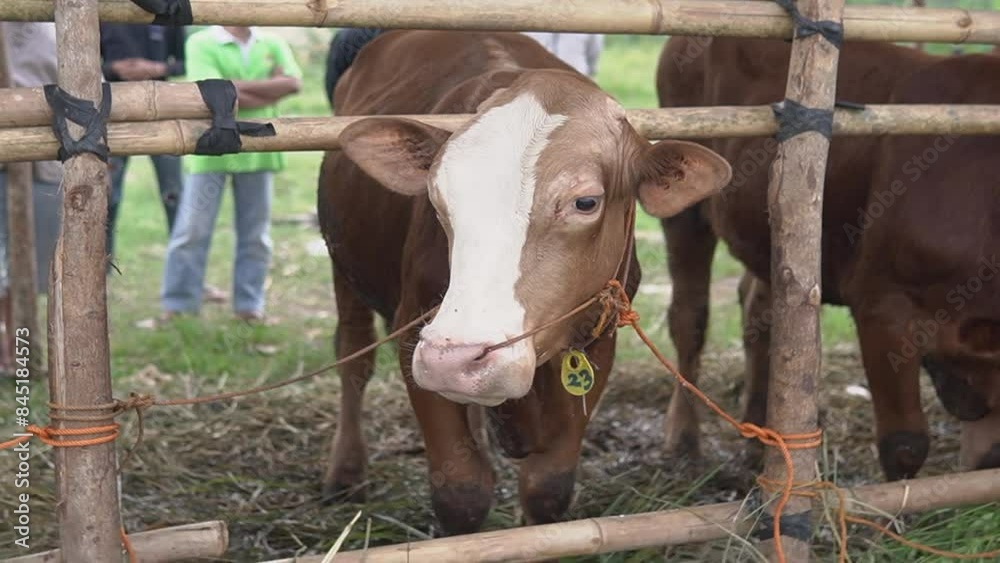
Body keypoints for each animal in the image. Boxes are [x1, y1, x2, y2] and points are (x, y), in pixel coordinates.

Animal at [317, 29, 733, 535]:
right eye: (437, 196)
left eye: (586, 202)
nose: (456, 360)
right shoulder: (415, 333)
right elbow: (461, 491)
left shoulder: (598, 340)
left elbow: (547, 486)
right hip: (343, 265)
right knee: (354, 358)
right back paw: (344, 471)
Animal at [656, 34, 1000, 481]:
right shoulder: (881, 305)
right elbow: (905, 444)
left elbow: (988, 455)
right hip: (685, 211)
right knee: (689, 318)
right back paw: (683, 440)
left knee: (759, 315)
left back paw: (759, 443)